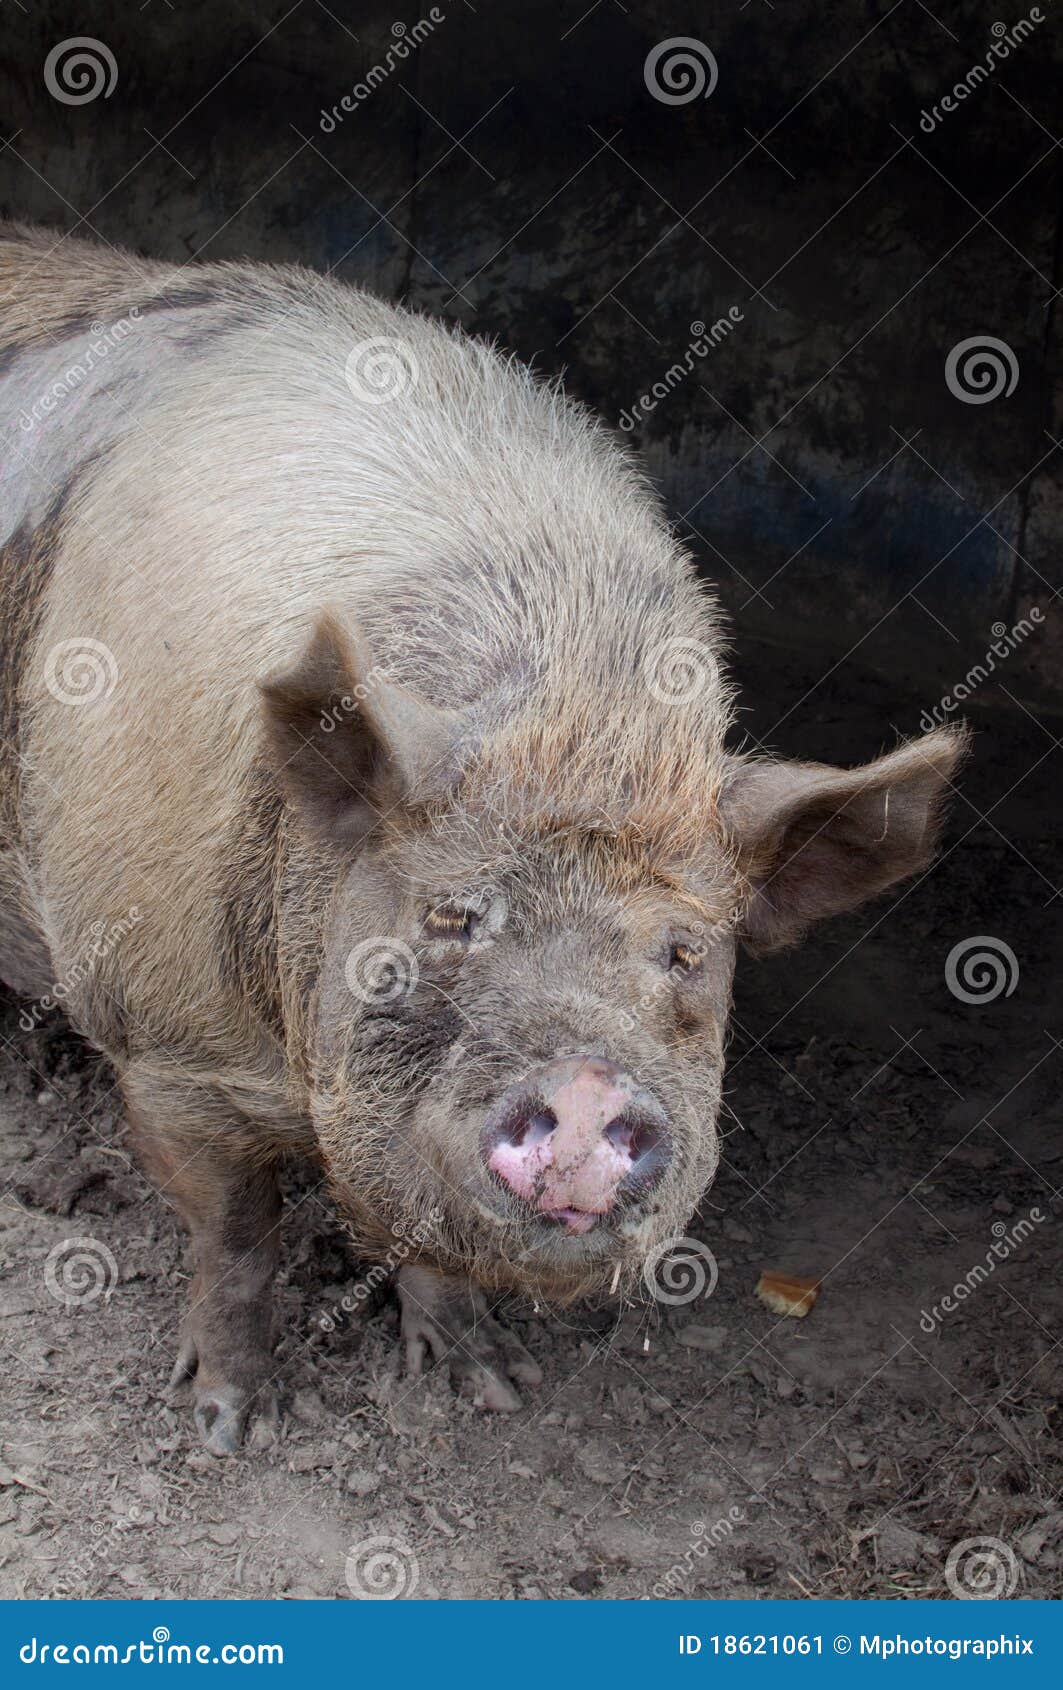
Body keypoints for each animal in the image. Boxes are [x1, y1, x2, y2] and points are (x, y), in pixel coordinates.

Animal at [0, 222, 966, 1451]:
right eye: (449, 916)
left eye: (683, 951)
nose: (590, 1085)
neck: (571, 720)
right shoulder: (161, 1039)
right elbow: (235, 1235)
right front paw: (233, 1427)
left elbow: (430, 1255)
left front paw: (484, 1386)